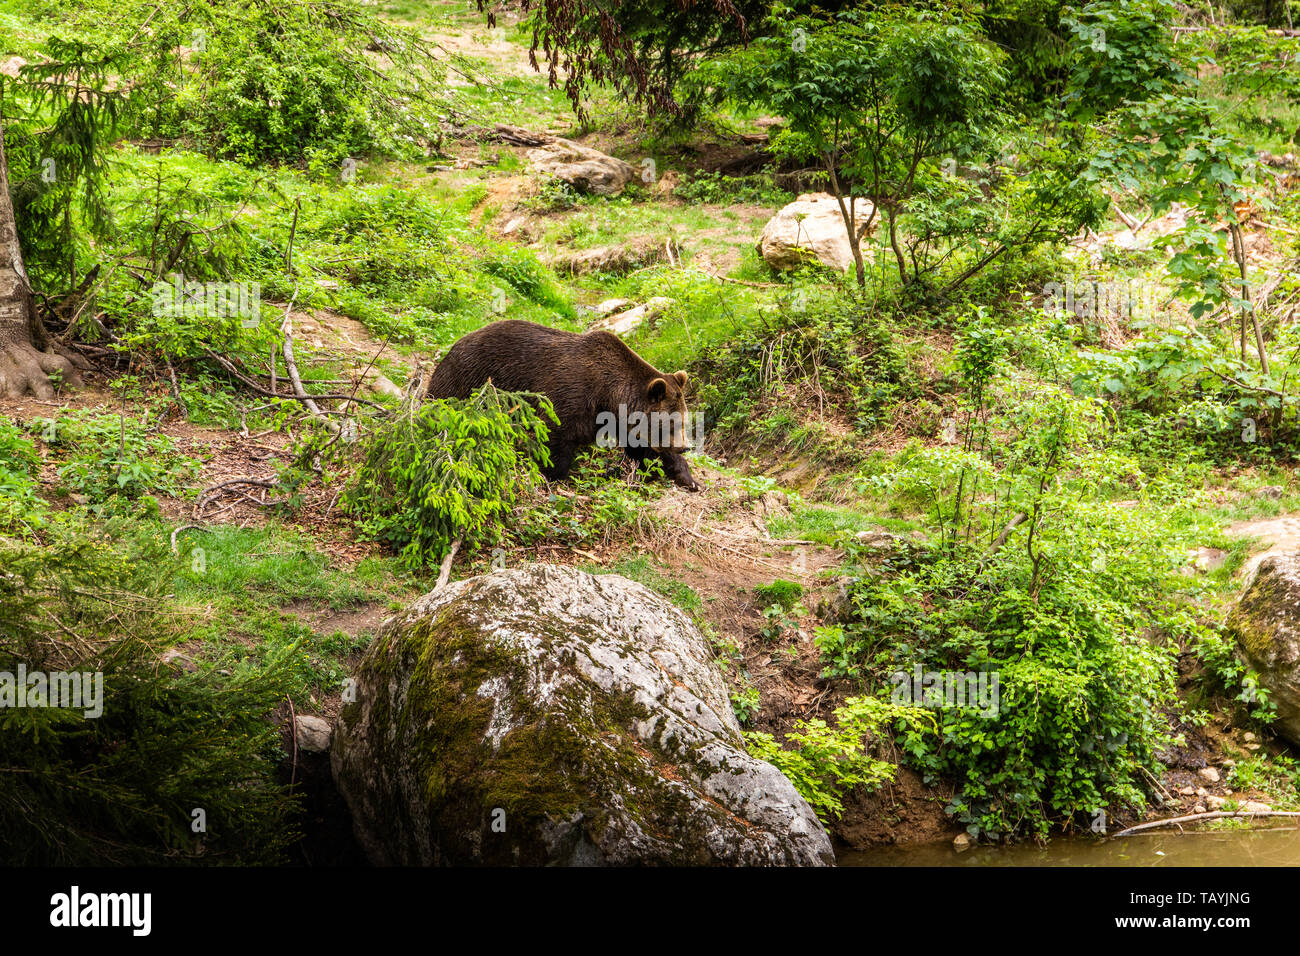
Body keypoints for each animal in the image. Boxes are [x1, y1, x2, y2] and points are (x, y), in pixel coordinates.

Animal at [425, 319, 701, 491]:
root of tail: (451, 348)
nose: (684, 447)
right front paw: (551, 474)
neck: (608, 395)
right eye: (671, 423)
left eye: (684, 420)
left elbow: (644, 449)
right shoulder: (570, 396)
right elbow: (555, 437)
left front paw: (689, 478)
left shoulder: (620, 421)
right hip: (468, 381)